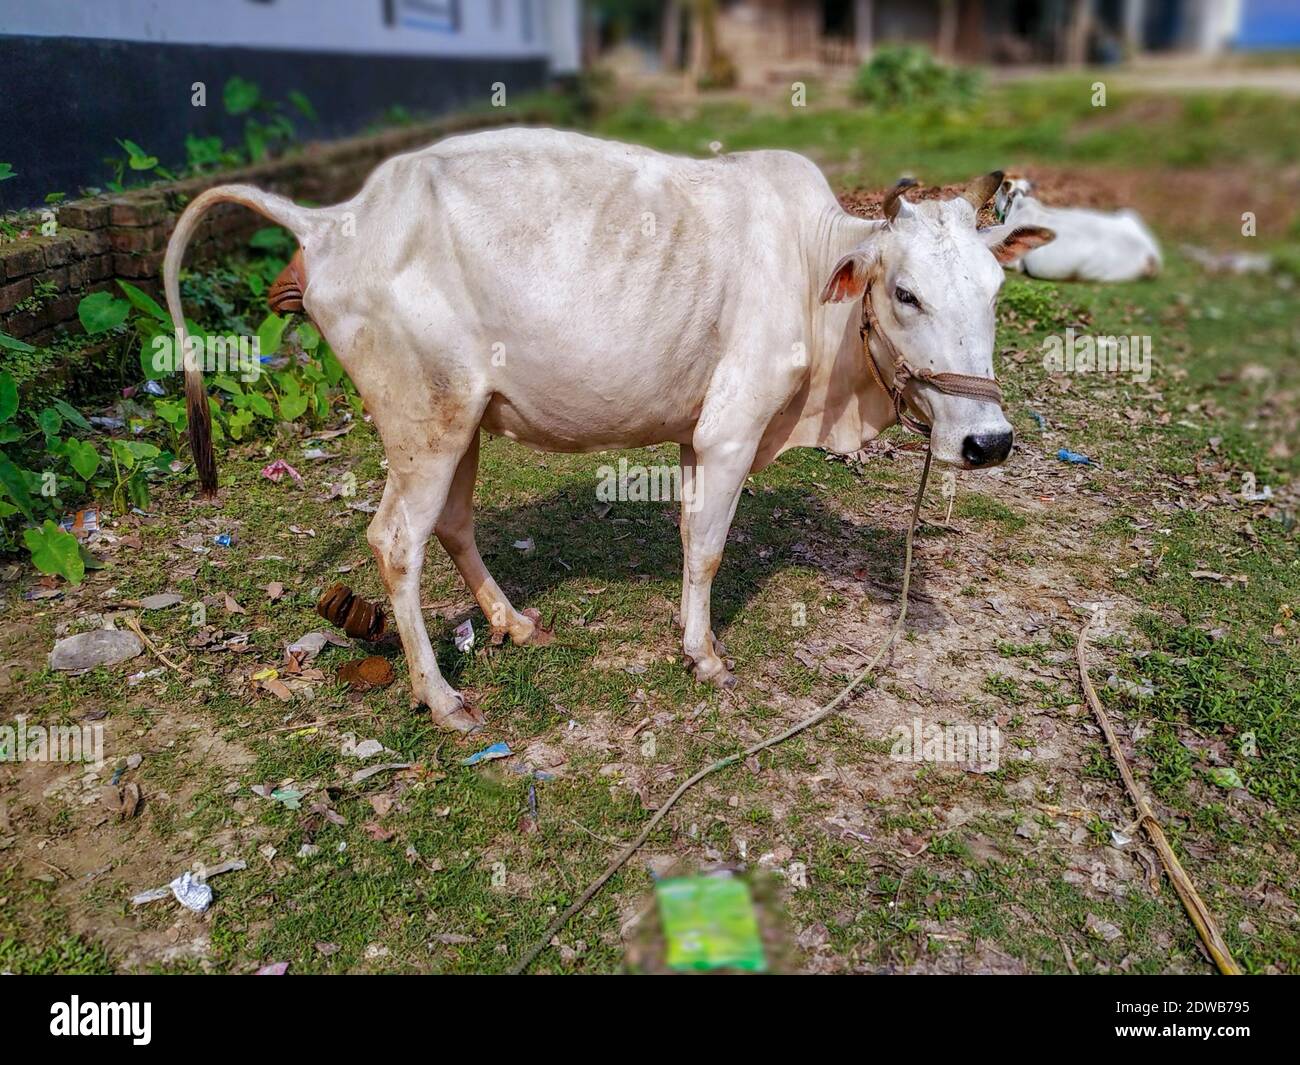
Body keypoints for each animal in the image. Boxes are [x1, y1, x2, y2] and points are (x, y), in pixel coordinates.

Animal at [163, 128, 1054, 731]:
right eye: (904, 292)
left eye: (996, 287)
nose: (988, 441)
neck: (812, 272)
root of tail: (335, 221)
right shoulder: (733, 428)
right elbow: (711, 545)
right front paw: (705, 655)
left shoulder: (698, 435)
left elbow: (690, 535)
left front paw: (687, 635)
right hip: (427, 419)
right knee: (395, 542)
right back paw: (441, 696)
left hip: (464, 420)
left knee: (452, 523)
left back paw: (512, 622)